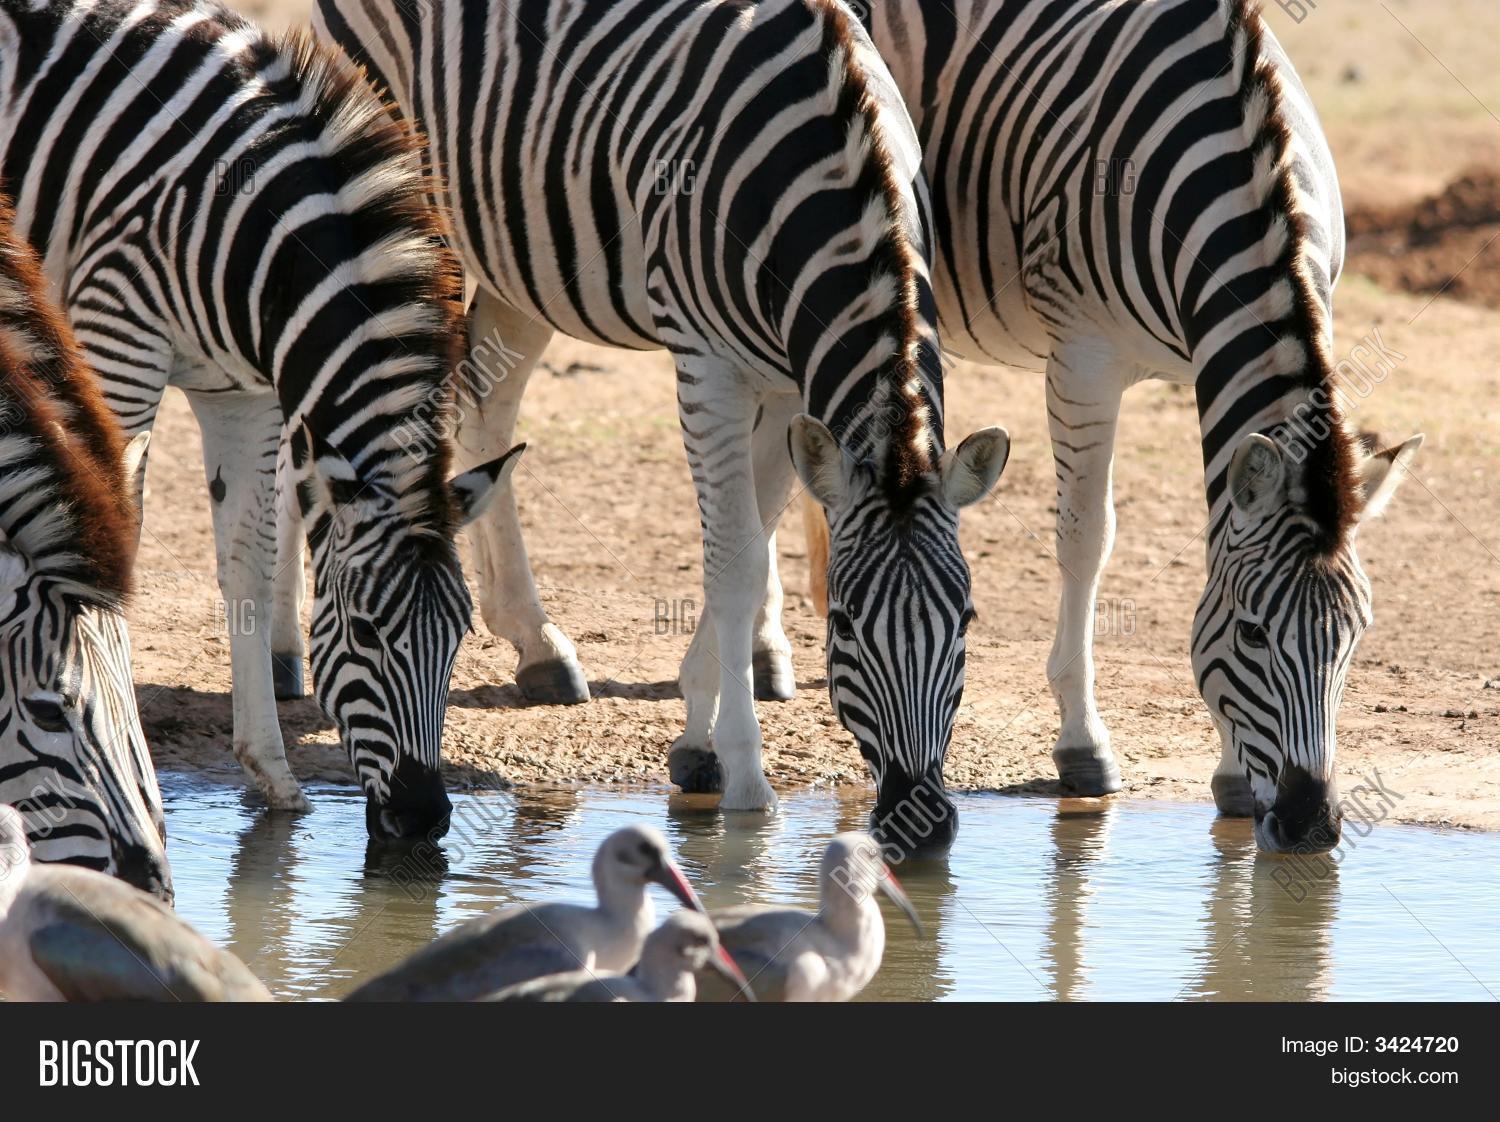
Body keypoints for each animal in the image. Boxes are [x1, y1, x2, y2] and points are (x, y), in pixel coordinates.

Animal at [0, 0, 522, 840]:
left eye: (459, 638)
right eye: (367, 632)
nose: (423, 819)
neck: (256, 232)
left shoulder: (244, 397)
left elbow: (249, 559)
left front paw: (272, 775)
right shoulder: (118, 338)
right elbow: (116, 544)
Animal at [314, 0, 1010, 835]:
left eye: (967, 618)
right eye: (842, 624)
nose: (923, 820)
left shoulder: (786, 382)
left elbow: (755, 538)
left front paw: (699, 741)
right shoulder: (708, 362)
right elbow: (734, 560)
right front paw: (744, 776)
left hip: (524, 254)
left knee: (485, 400)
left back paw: (537, 644)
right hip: (400, 188)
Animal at [795, 0, 1419, 852]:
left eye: (1357, 637)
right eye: (1253, 634)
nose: (1311, 826)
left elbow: (1214, 541)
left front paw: (1230, 774)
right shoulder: (1083, 357)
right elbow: (1086, 536)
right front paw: (1083, 747)